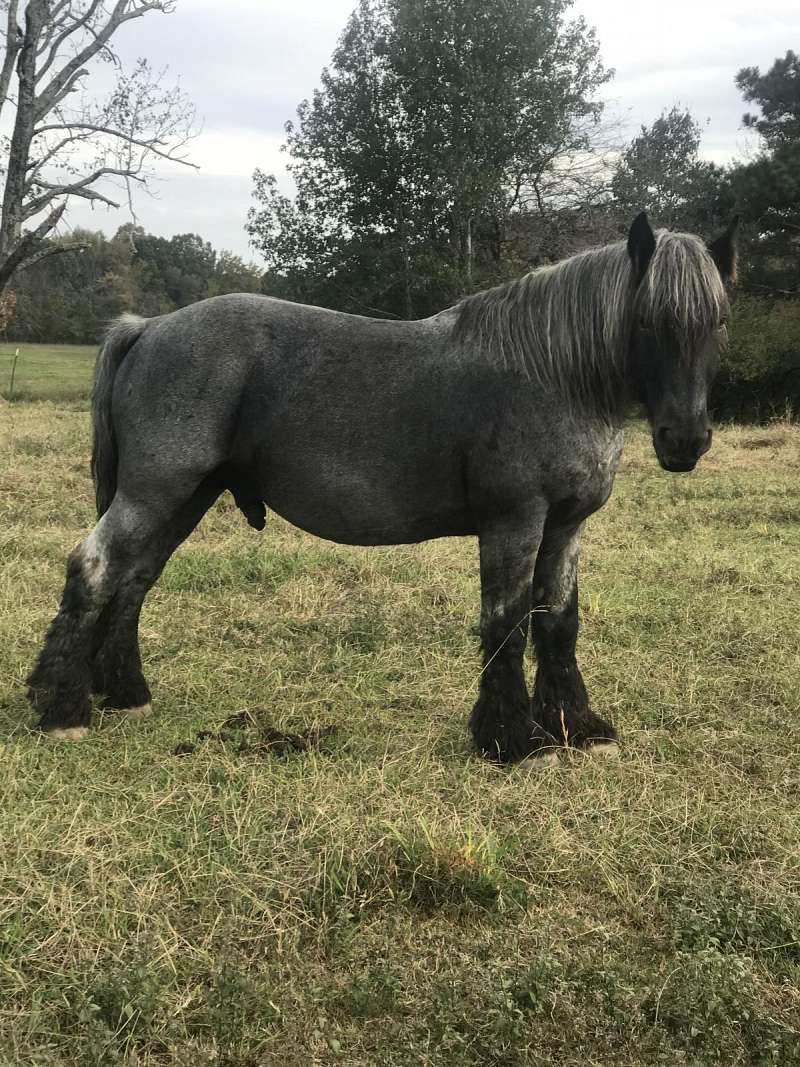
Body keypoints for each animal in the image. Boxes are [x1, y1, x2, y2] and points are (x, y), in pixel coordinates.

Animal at [26, 212, 738, 761]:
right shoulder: (514, 522)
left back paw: (125, 694)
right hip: (154, 493)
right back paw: (60, 710)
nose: (685, 440)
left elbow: (558, 623)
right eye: (647, 321)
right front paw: (511, 740)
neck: (554, 373)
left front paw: (577, 727)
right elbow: (506, 623)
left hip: (184, 499)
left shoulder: (565, 526)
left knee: (133, 583)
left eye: (719, 321)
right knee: (95, 569)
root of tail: (147, 327)